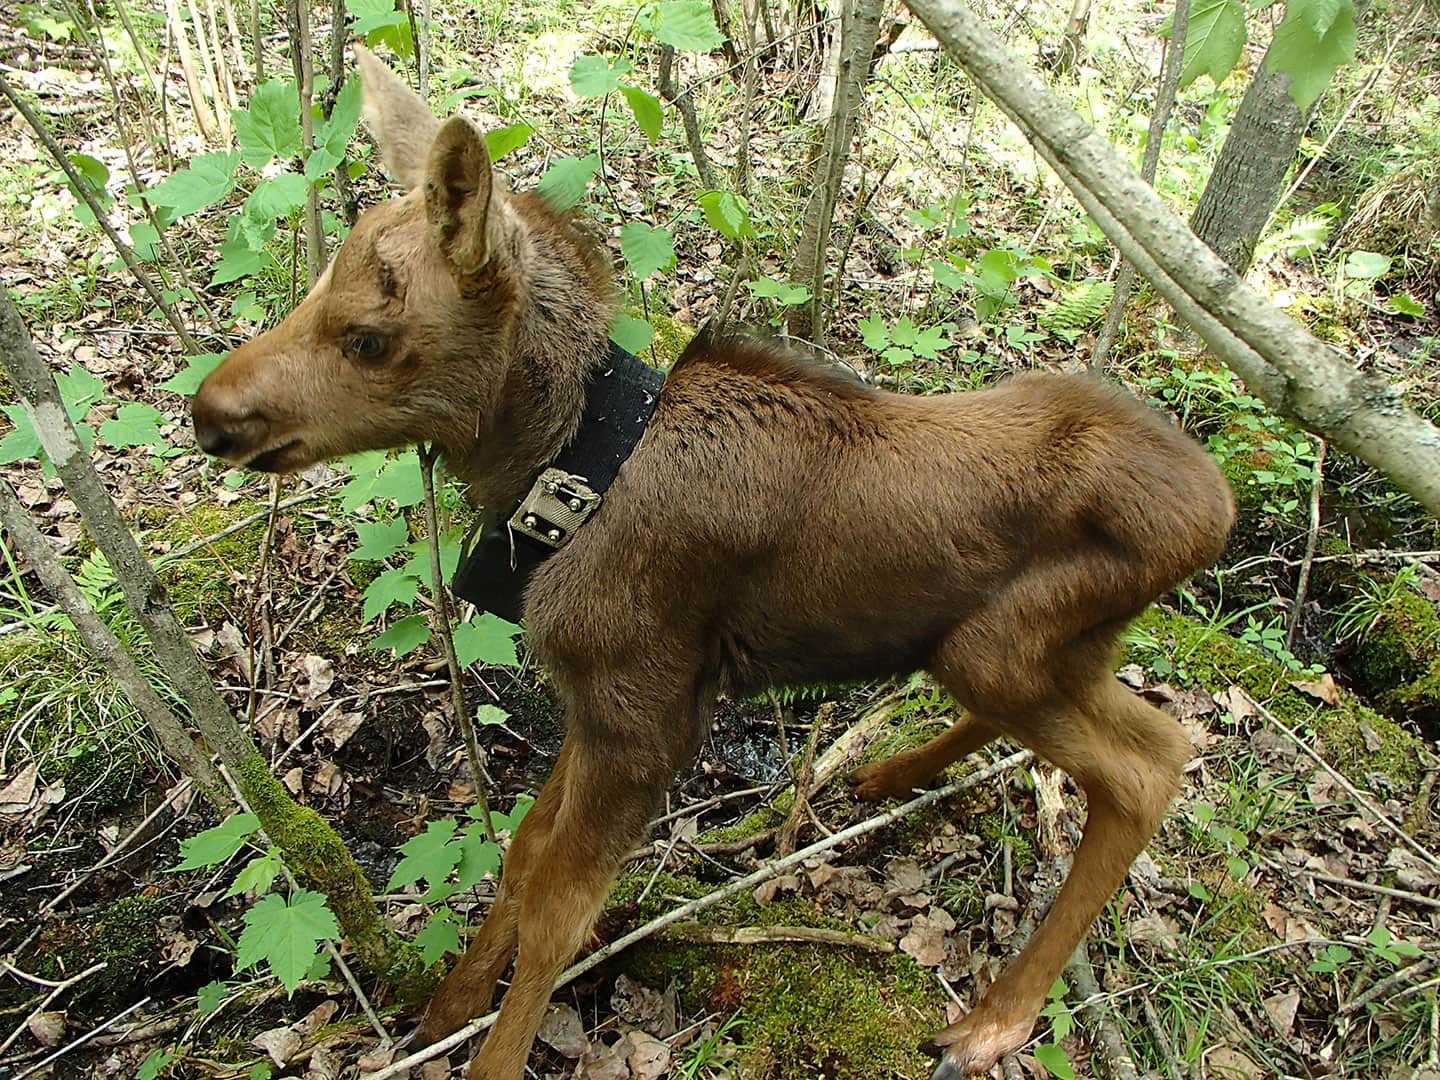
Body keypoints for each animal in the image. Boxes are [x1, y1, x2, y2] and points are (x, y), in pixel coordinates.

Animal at [191, 45, 1235, 1080]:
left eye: (369, 337)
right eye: (316, 284)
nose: (211, 413)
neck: (569, 471)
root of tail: (1216, 513)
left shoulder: (645, 709)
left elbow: (559, 911)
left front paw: (489, 1050)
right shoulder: (600, 695)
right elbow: (522, 856)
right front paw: (441, 1013)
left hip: (1004, 648)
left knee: (1155, 760)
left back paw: (996, 1018)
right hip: (1043, 644)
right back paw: (891, 777)